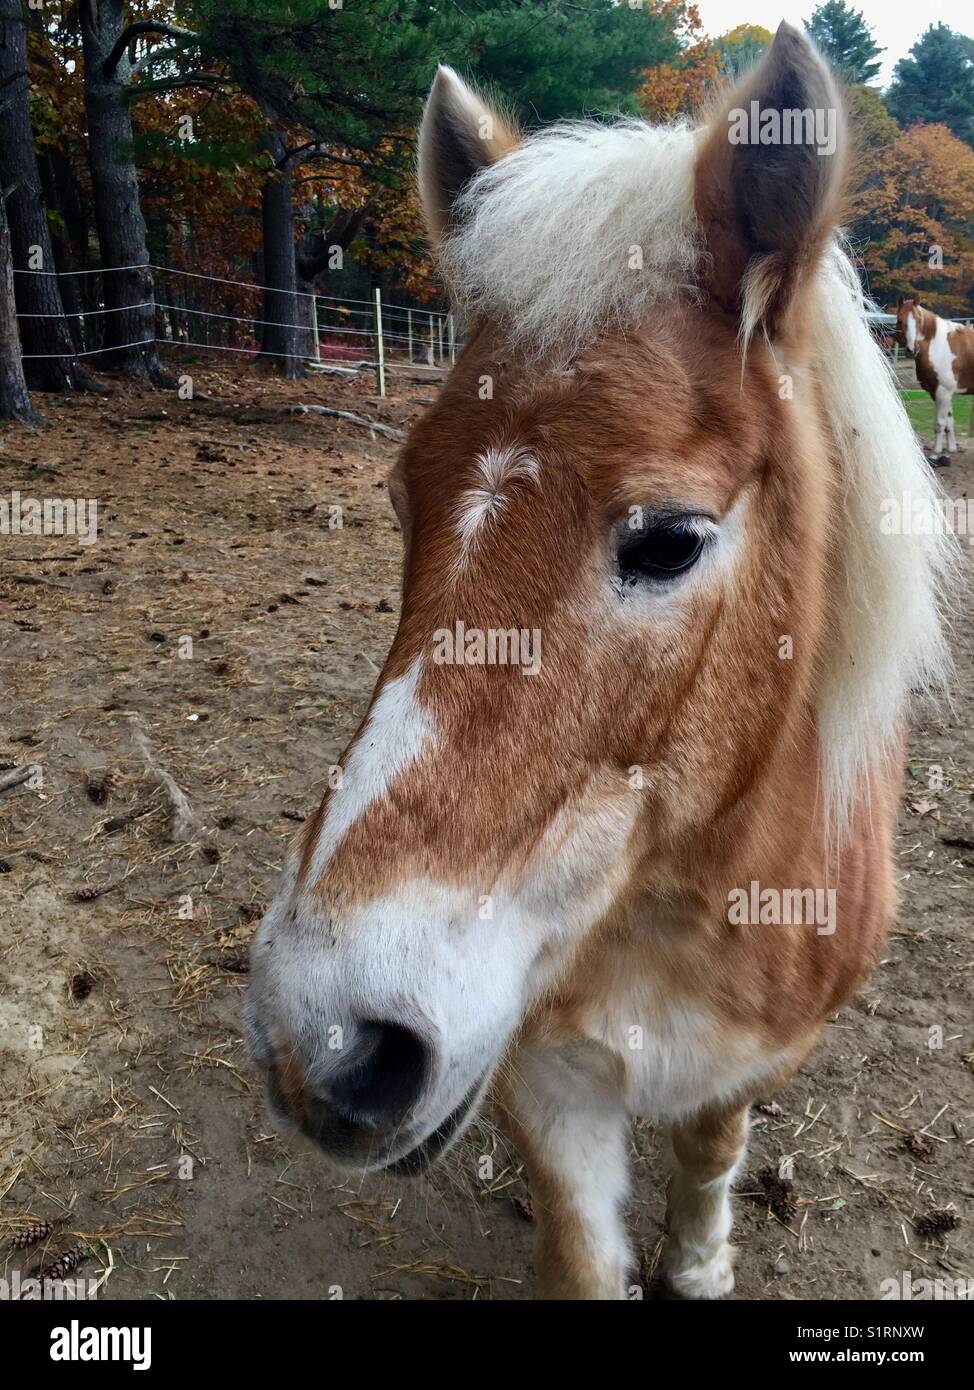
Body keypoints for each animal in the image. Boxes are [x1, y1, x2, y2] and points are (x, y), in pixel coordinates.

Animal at [245, 24, 954, 1300]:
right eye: (399, 502)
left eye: (669, 538)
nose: (320, 1041)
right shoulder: (541, 1064)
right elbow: (578, 1249)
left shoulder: (753, 1056)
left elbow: (710, 1148)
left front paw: (698, 1258)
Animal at [895, 296, 974, 460]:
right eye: (900, 320)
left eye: (919, 319)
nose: (912, 350)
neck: (939, 346)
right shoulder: (940, 392)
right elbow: (949, 422)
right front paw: (948, 452)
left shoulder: (943, 392)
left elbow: (940, 423)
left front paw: (935, 454)